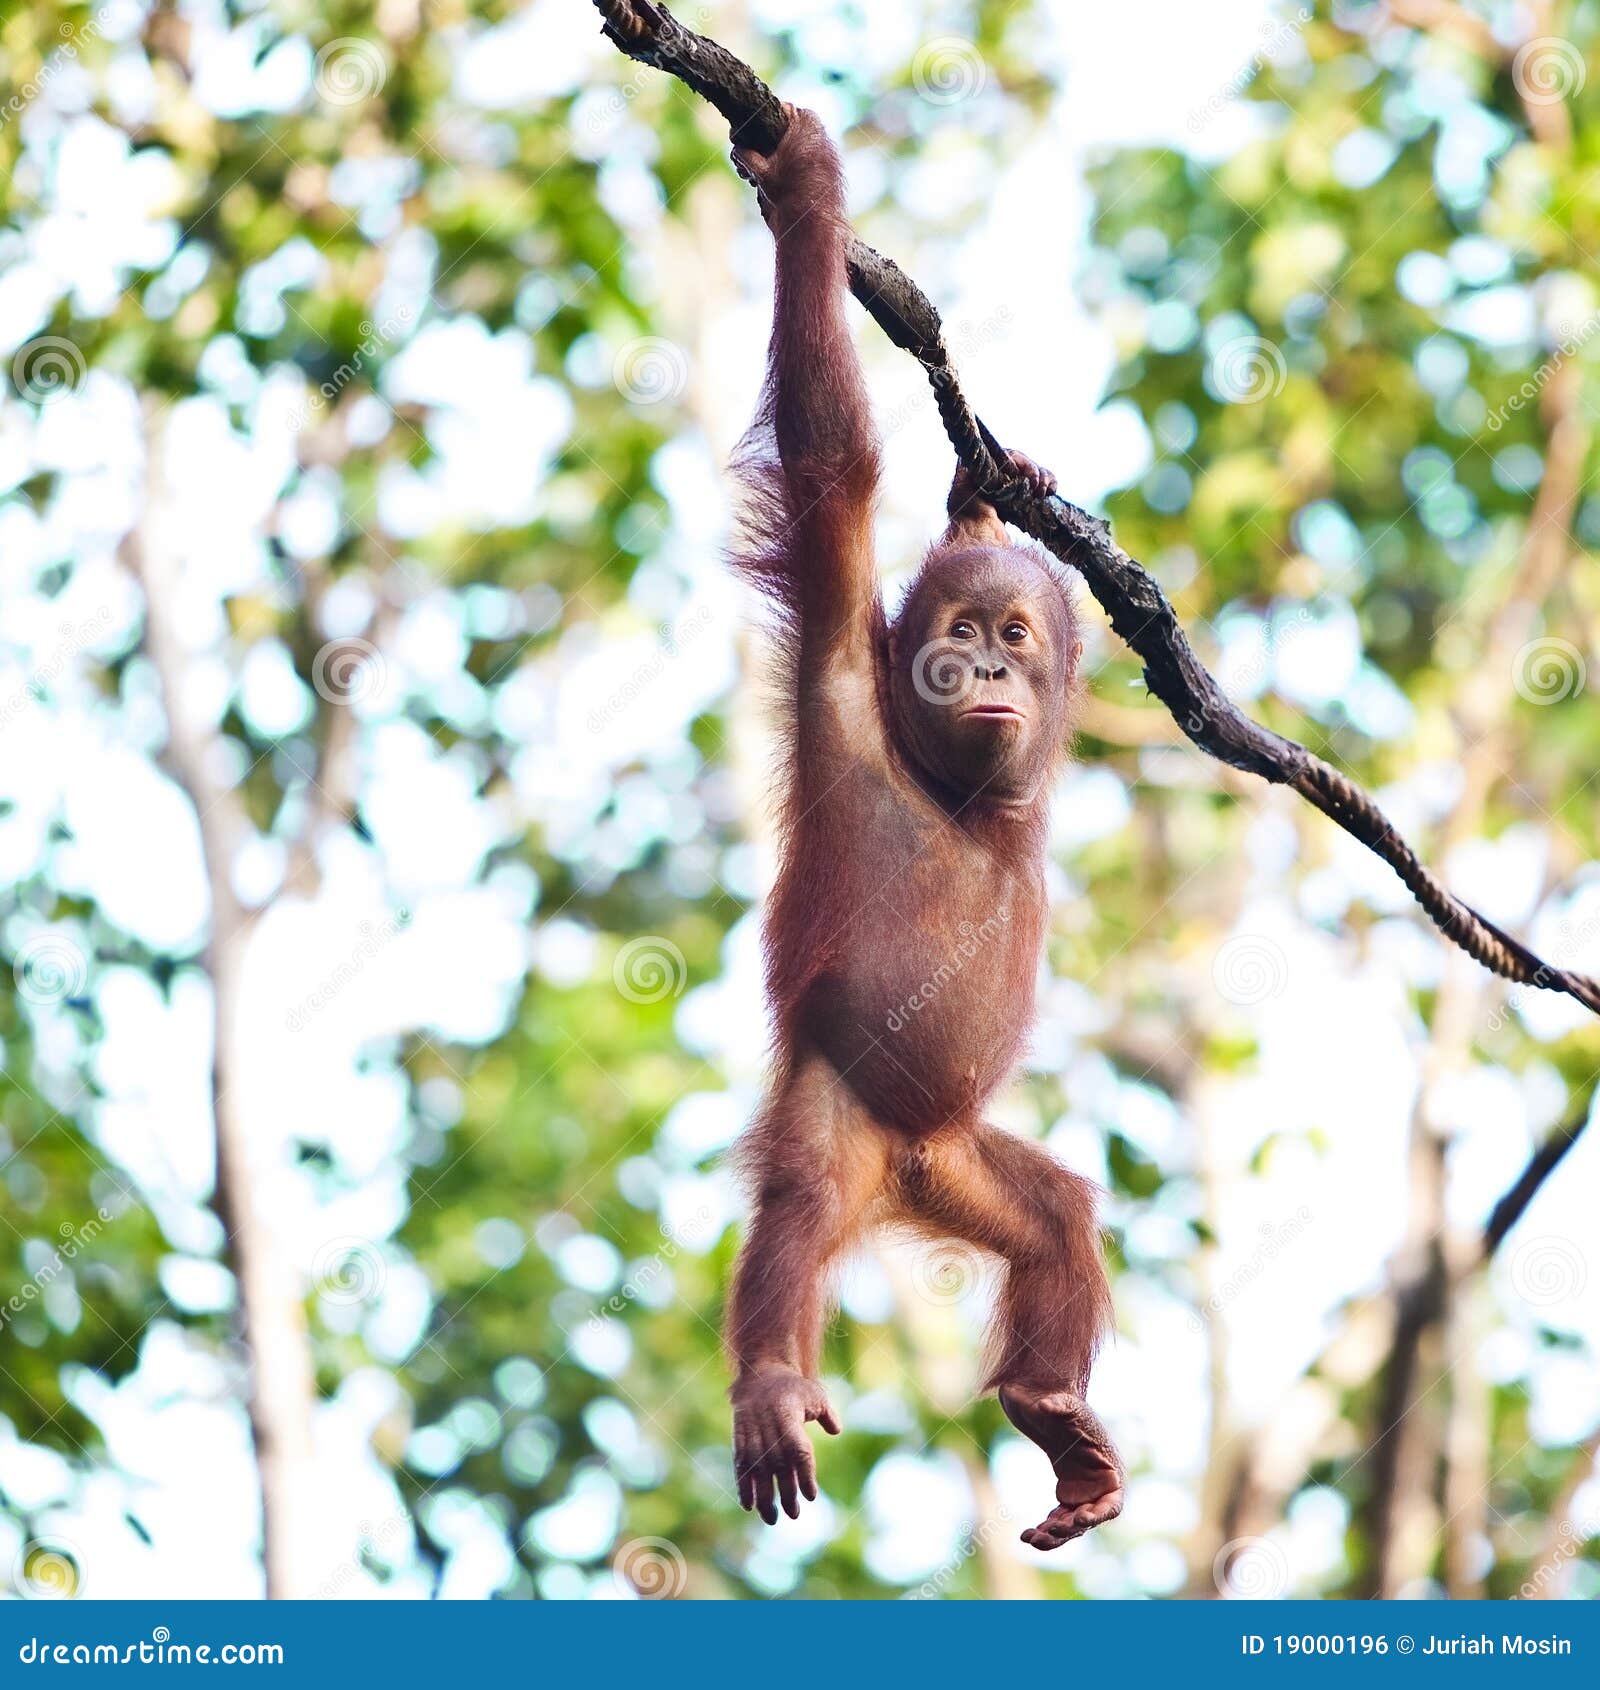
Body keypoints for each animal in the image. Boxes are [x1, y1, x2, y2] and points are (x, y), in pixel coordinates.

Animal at [721, 107, 1122, 1552]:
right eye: (954, 635)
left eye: (1013, 632)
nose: (983, 667)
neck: (969, 800)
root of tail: (899, 1169)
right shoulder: (845, 668)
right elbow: (835, 469)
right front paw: (807, 190)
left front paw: (992, 491)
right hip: (835, 1105)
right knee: (792, 1214)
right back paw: (770, 1384)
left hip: (959, 1157)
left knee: (1055, 1216)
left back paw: (1052, 1406)